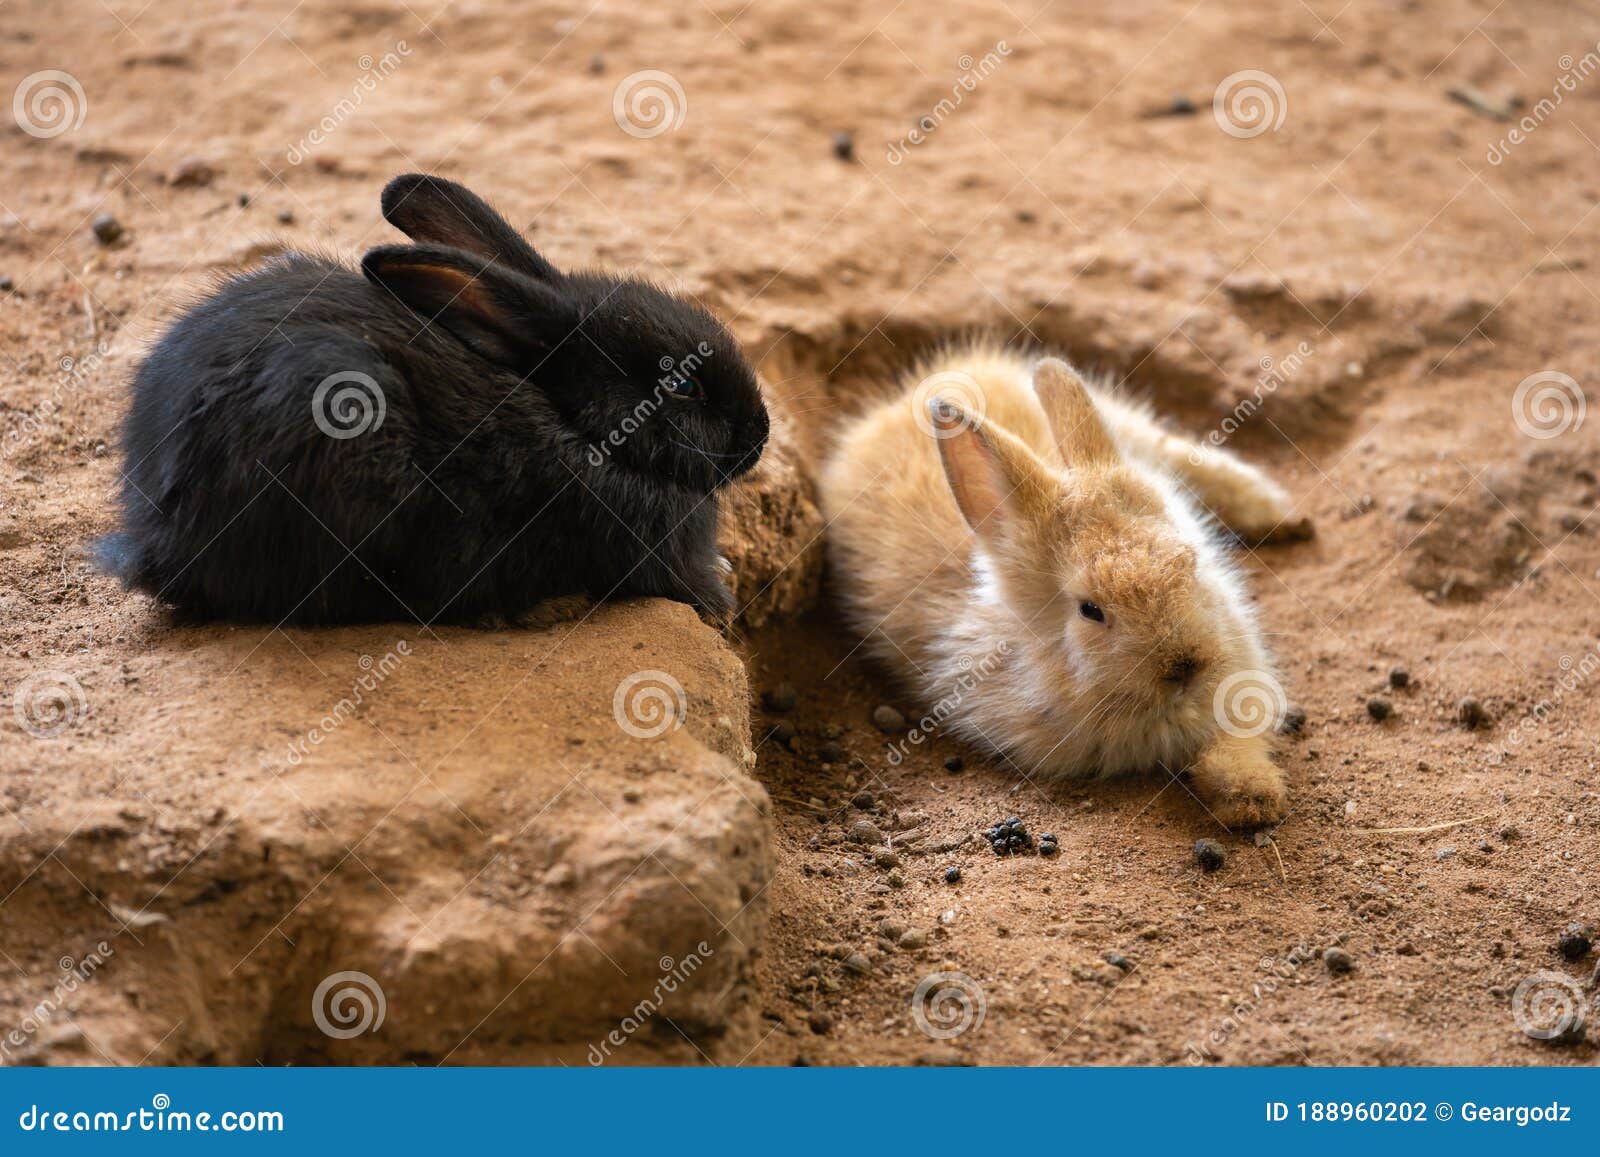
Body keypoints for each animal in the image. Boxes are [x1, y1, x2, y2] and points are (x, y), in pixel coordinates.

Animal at [818, 344, 1306, 828]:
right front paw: (1248, 805)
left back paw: (1284, 515)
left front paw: (1254, 797)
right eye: (1090, 610)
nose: (1186, 666)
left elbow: (1236, 744)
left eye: (1190, 562)